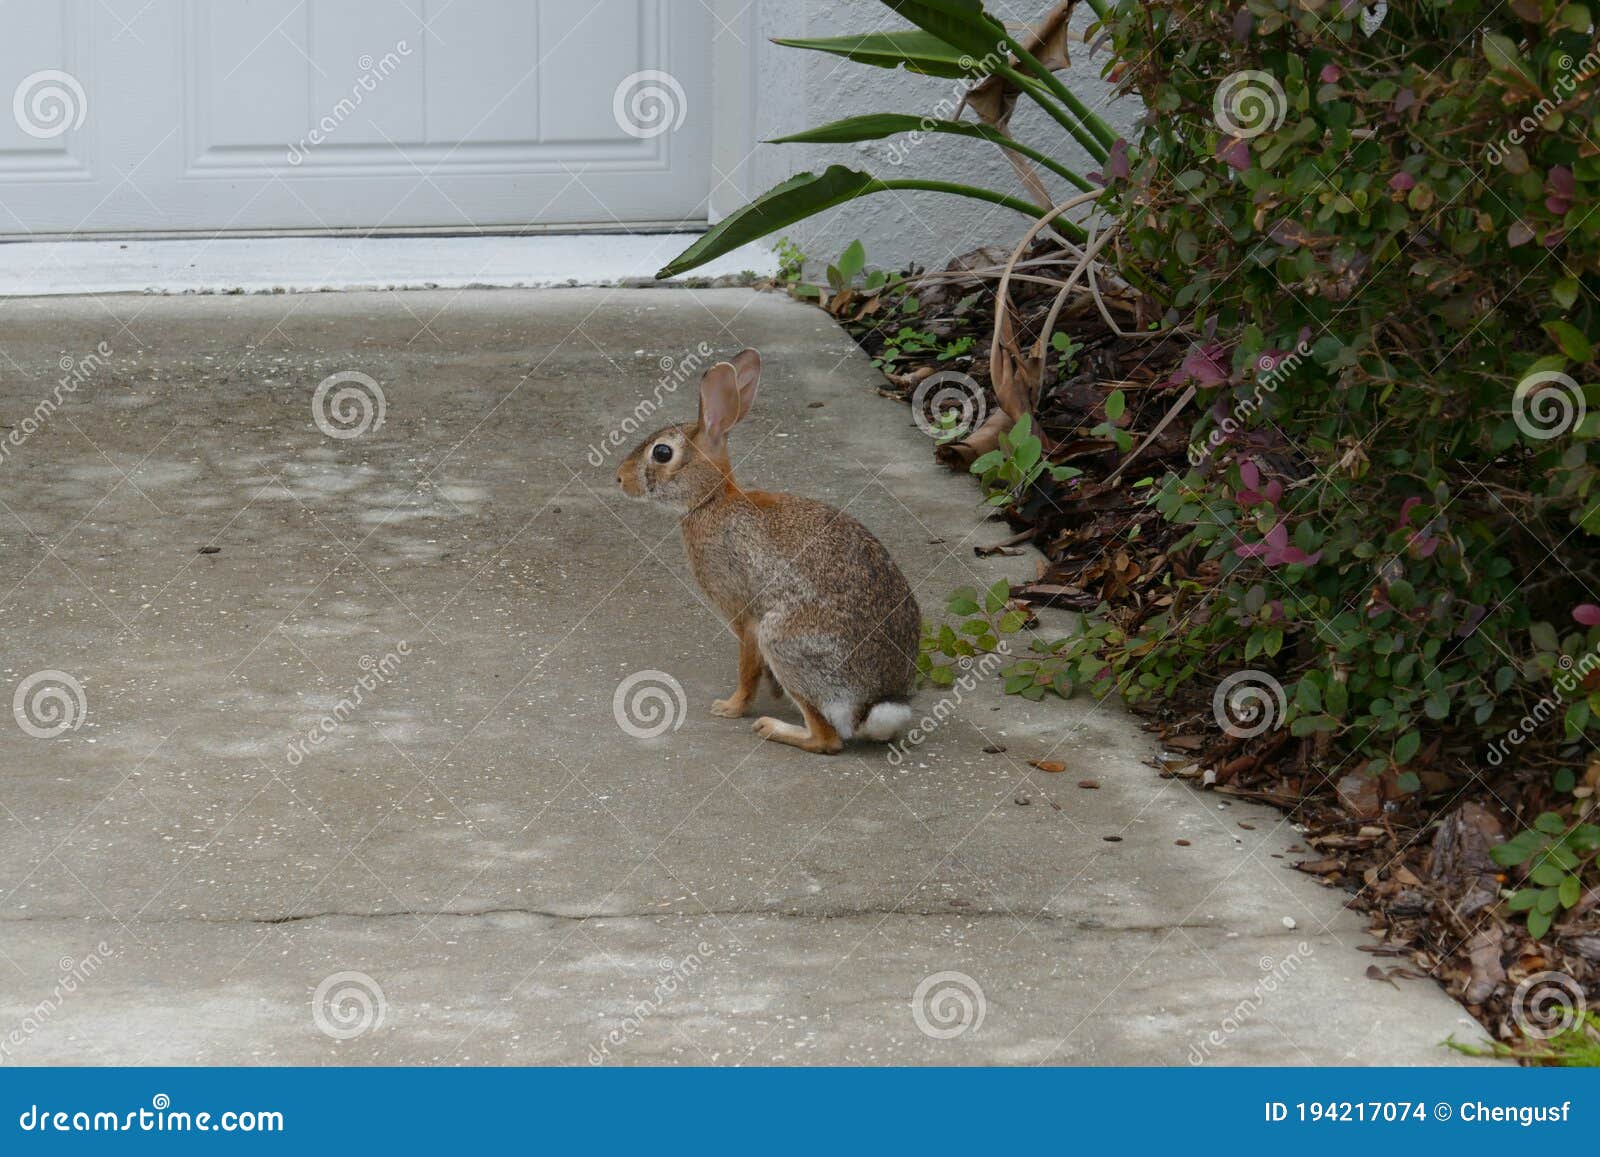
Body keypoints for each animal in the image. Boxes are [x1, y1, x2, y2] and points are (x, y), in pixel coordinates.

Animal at [616, 348, 920, 754]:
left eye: (662, 452)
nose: (619, 477)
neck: (711, 500)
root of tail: (871, 707)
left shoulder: (745, 616)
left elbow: (747, 669)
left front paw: (729, 708)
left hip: (783, 640)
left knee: (827, 739)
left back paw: (772, 727)